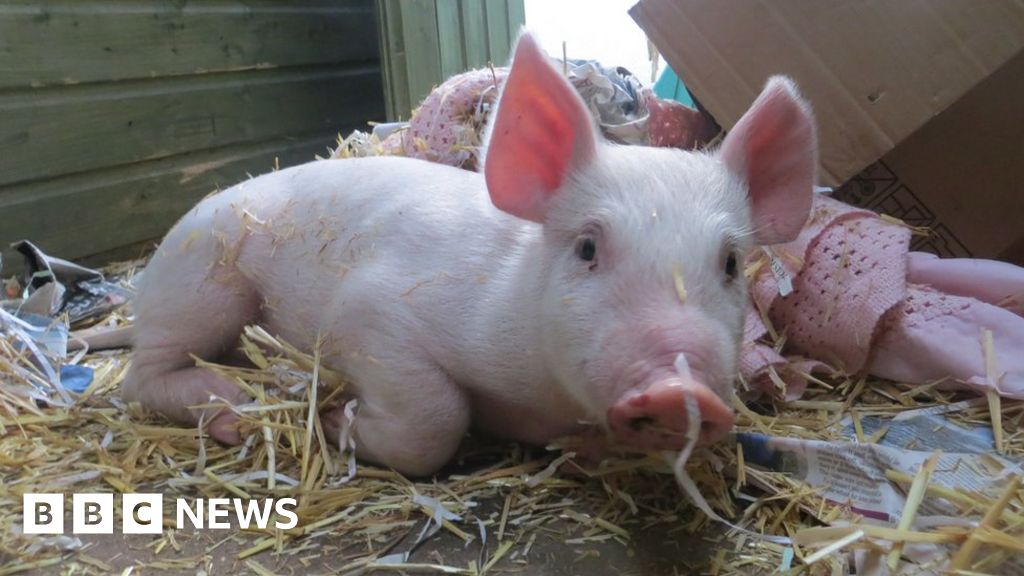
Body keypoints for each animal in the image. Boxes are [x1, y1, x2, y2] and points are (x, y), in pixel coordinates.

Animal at [123, 33, 816, 476]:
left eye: (730, 264)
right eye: (588, 247)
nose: (679, 389)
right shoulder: (373, 313)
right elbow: (437, 415)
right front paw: (341, 420)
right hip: (202, 283)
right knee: (138, 380)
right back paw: (235, 408)